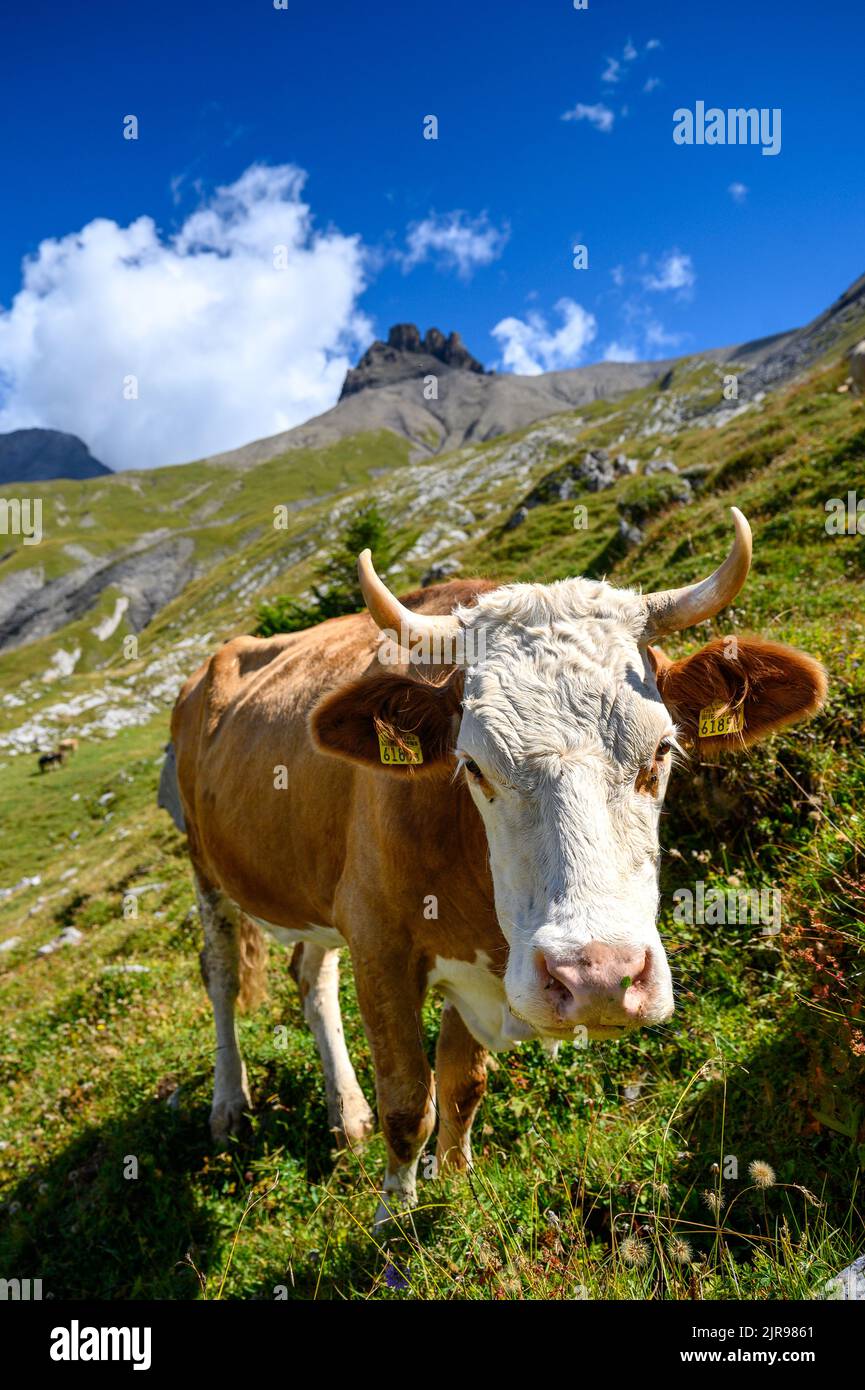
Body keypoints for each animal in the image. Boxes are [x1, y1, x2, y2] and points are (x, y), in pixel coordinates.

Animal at [167, 508, 825, 1223]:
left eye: (662, 749)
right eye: (473, 764)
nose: (598, 978)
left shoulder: (464, 960)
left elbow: (461, 1085)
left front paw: (455, 1187)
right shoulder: (380, 942)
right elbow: (409, 1100)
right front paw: (396, 1218)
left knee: (310, 974)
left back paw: (346, 1114)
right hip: (205, 866)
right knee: (221, 974)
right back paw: (229, 1106)